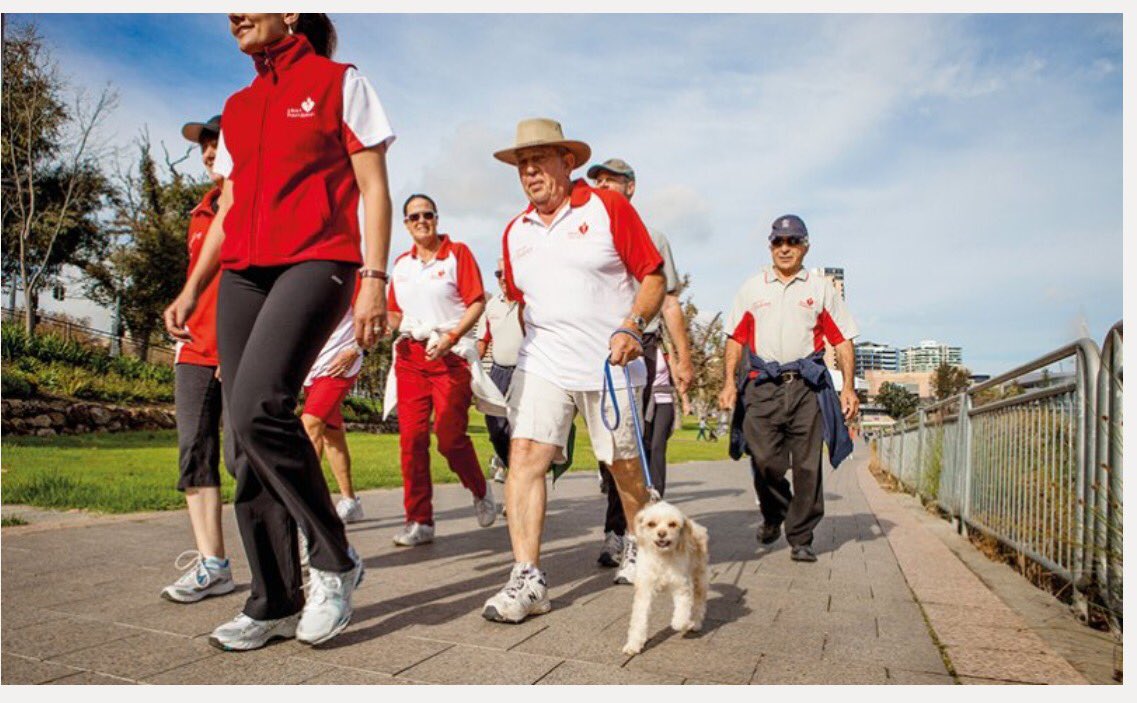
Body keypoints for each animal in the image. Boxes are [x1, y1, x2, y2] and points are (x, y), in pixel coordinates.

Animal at [627, 498, 704, 650]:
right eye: (651, 524)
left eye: (672, 524)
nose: (662, 533)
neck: (662, 558)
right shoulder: (645, 589)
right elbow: (639, 618)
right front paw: (634, 644)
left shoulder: (681, 587)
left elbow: (682, 615)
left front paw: (683, 623)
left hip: (699, 577)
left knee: (699, 603)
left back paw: (695, 623)